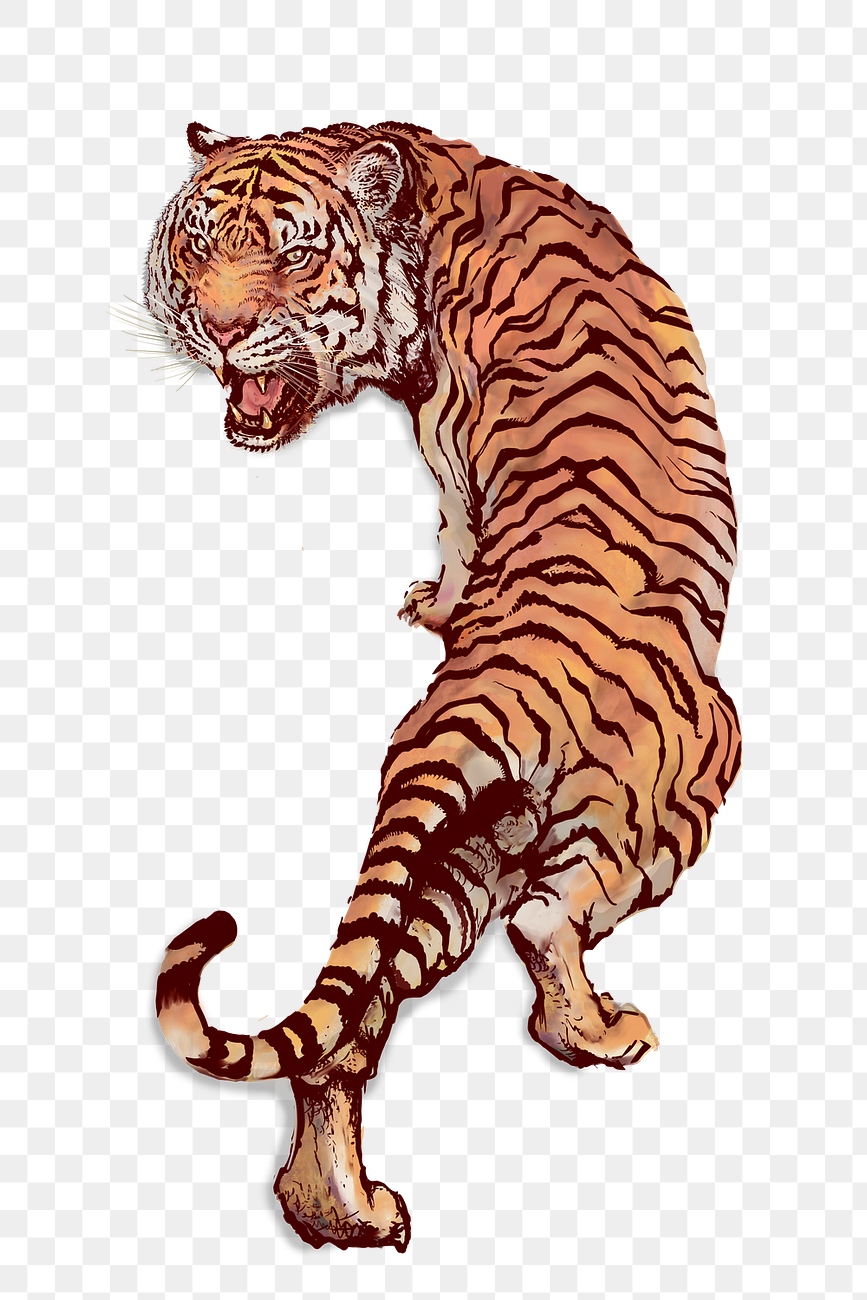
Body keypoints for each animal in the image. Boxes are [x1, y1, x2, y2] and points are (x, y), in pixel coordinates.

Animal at [148, 120, 741, 1252]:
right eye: (197, 245)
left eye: (294, 253)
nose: (219, 326)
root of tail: (479, 697)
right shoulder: (448, 442)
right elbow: (461, 528)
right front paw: (442, 596)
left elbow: (457, 526)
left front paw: (433, 602)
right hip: (670, 790)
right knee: (545, 926)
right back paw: (601, 1037)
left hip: (461, 860)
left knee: (346, 1031)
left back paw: (335, 1213)